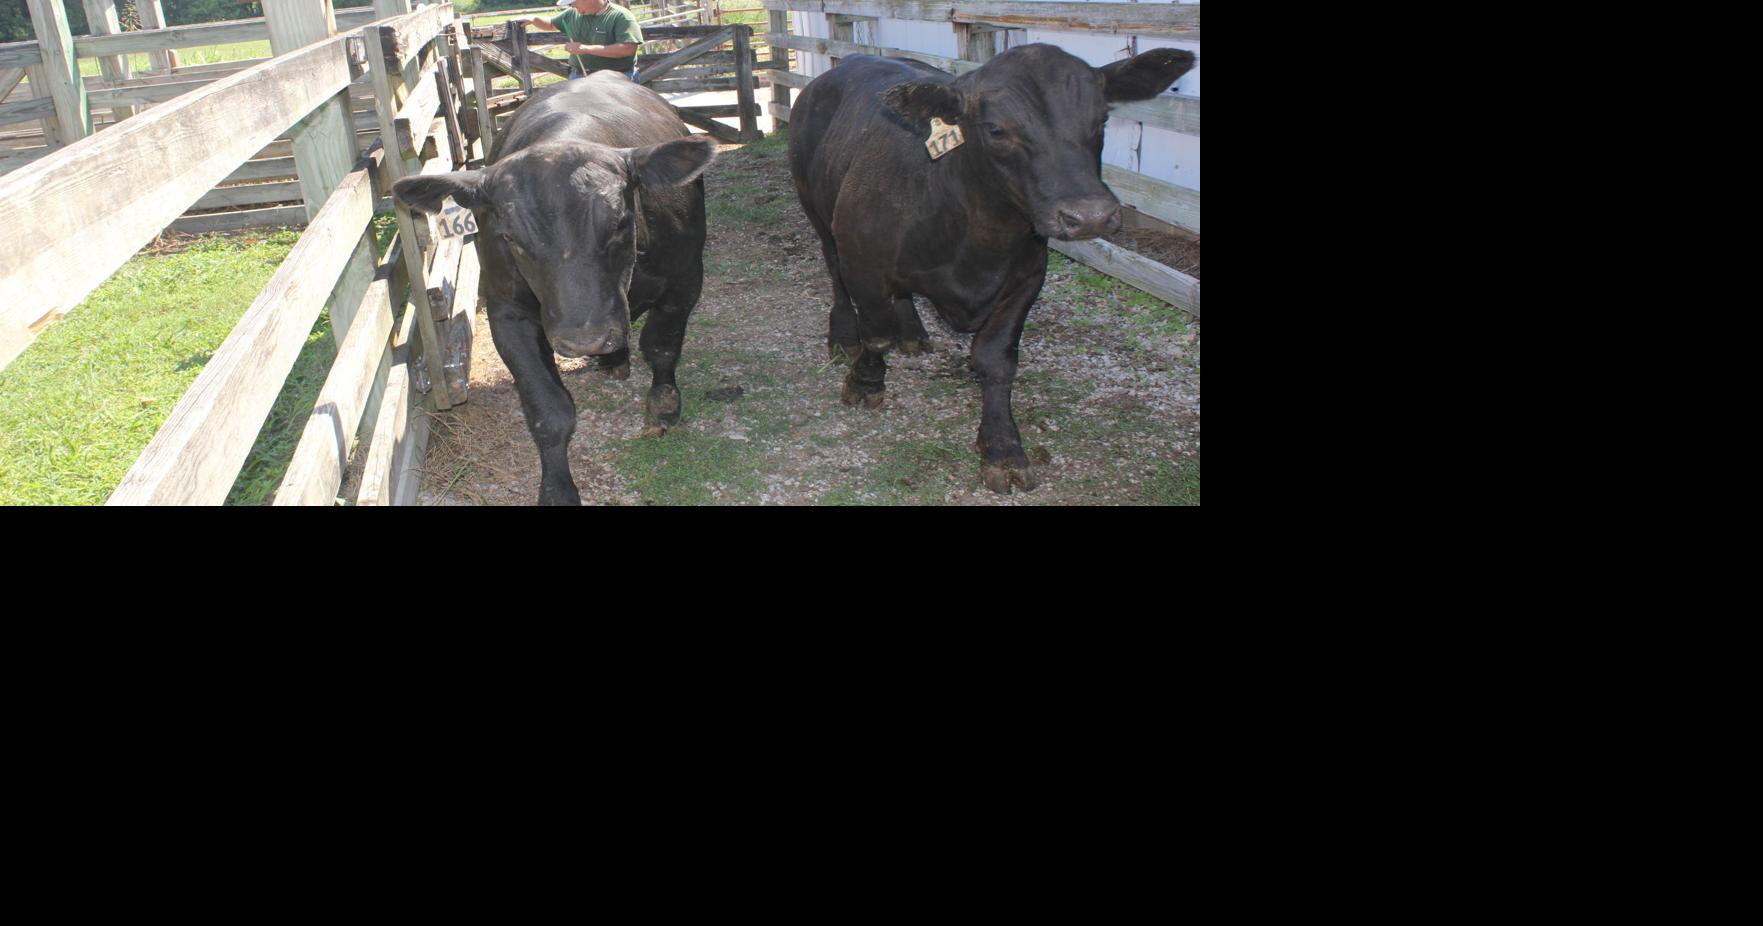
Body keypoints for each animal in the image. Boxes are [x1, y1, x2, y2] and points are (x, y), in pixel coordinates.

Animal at [392, 73, 716, 505]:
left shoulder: (686, 277)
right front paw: (558, 488)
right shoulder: (506, 311)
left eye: (621, 221)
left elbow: (661, 345)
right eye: (511, 237)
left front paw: (663, 405)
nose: (586, 338)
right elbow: (549, 410)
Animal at [788, 45, 1195, 493]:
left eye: (1101, 120)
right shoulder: (861, 258)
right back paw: (845, 337)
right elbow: (876, 334)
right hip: (816, 211)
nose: (1089, 215)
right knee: (836, 278)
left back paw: (912, 331)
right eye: (997, 130)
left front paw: (1002, 448)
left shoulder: (1027, 277)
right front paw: (864, 381)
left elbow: (996, 360)